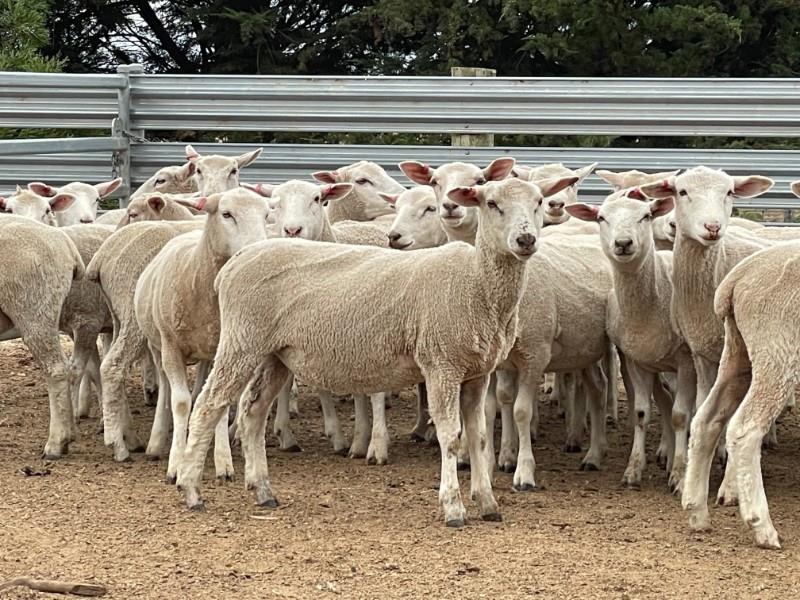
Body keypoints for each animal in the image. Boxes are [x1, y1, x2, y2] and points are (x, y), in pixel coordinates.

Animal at [135, 188, 270, 482]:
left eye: (267, 215)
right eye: (227, 214)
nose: (257, 252)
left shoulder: (222, 348)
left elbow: (218, 403)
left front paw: (223, 462)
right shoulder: (171, 347)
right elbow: (180, 403)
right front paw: (175, 464)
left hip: (207, 351)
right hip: (157, 345)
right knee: (165, 389)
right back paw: (157, 439)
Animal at [176, 175, 579, 525]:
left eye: (538, 202)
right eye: (492, 204)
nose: (525, 239)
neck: (476, 284)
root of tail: (233, 264)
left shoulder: (476, 372)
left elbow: (478, 436)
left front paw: (488, 503)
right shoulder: (442, 364)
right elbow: (450, 436)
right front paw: (453, 507)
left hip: (275, 353)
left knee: (253, 411)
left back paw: (263, 491)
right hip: (241, 341)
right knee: (208, 405)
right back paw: (191, 489)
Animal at [566, 190, 697, 491]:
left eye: (646, 216)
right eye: (601, 218)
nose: (623, 243)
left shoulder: (686, 362)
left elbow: (681, 415)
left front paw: (679, 475)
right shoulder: (637, 361)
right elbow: (641, 413)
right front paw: (633, 470)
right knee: (665, 399)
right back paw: (667, 454)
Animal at [639, 167, 773, 494]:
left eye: (730, 192)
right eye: (682, 192)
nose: (712, 227)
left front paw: (729, 487)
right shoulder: (701, 352)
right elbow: (703, 410)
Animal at [683, 241, 800, 549]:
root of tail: (736, 281)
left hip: (737, 353)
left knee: (706, 421)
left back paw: (697, 512)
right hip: (777, 351)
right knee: (745, 429)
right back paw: (762, 526)